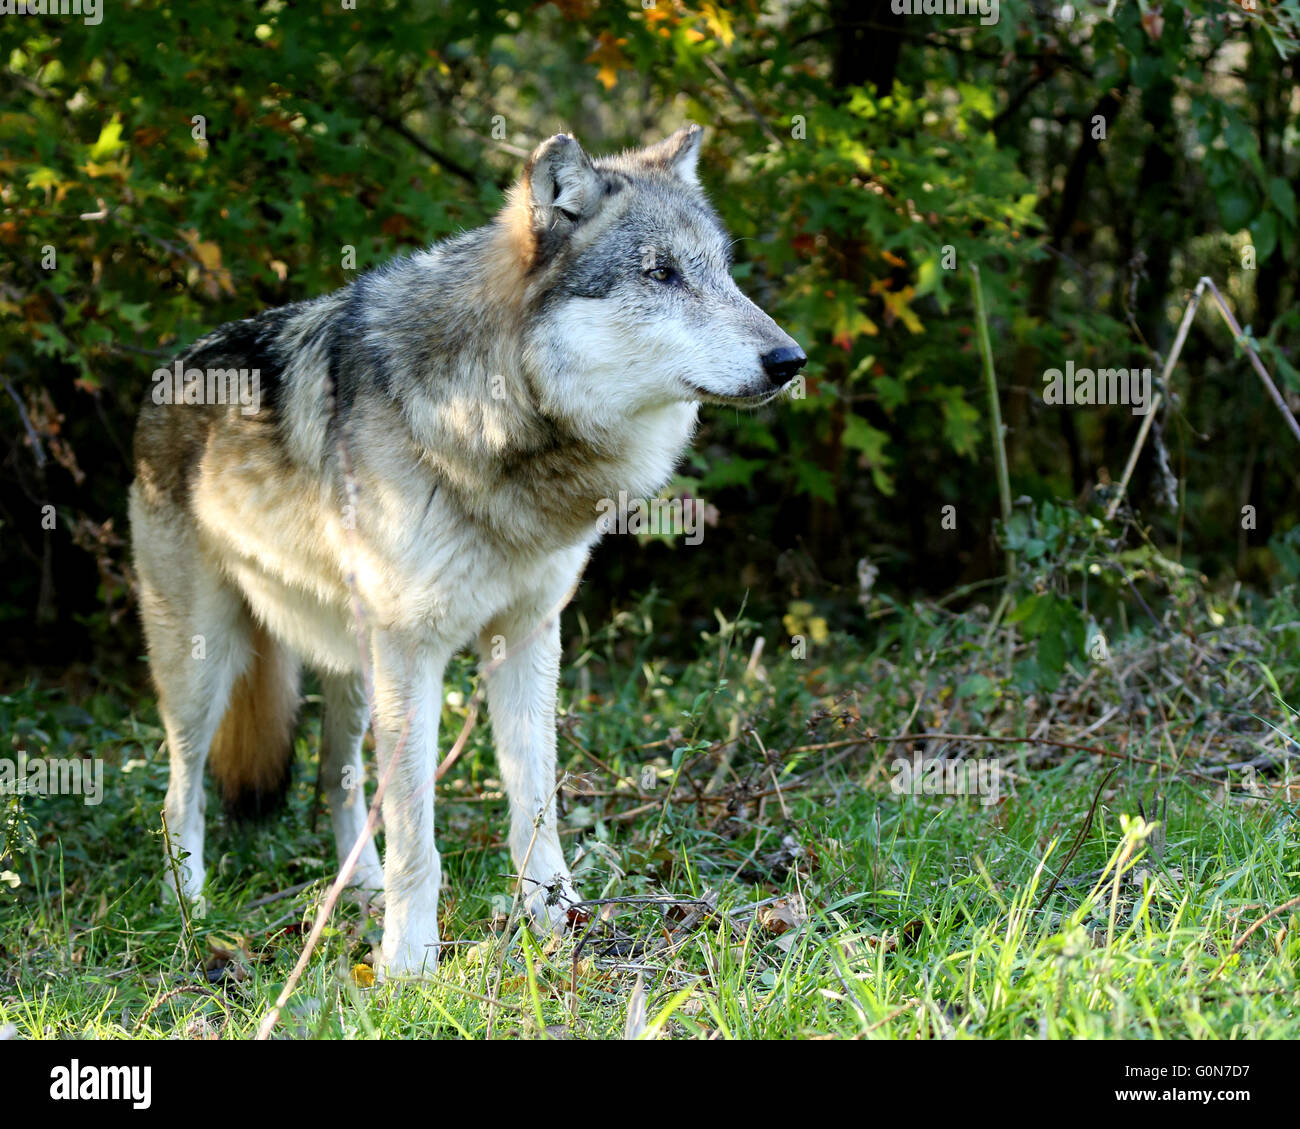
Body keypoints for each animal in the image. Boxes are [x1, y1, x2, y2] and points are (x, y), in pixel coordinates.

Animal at [129, 124, 806, 974]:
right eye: (662, 273)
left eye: (722, 270)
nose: (791, 360)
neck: (500, 427)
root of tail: (168, 372)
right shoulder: (415, 652)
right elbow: (419, 834)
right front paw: (409, 961)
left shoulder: (528, 635)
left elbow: (536, 804)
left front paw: (558, 920)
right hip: (207, 664)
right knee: (179, 790)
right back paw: (188, 905)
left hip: (354, 670)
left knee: (338, 780)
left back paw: (360, 889)